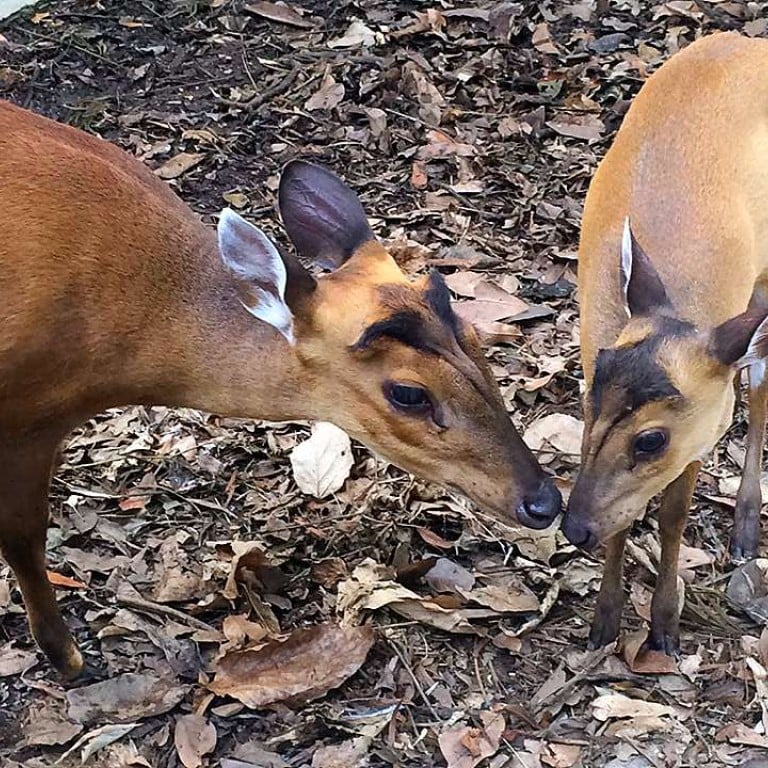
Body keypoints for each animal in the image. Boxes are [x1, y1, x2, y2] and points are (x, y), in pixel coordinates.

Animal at [0, 98, 561, 679]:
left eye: (473, 335)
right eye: (408, 393)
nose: (545, 502)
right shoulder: (22, 418)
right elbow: (22, 535)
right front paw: (65, 655)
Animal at [561, 31, 768, 656]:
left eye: (652, 438)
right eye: (588, 402)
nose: (572, 526)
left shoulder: (704, 426)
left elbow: (674, 514)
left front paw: (666, 628)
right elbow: (625, 513)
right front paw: (604, 622)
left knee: (759, 386)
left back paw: (746, 528)